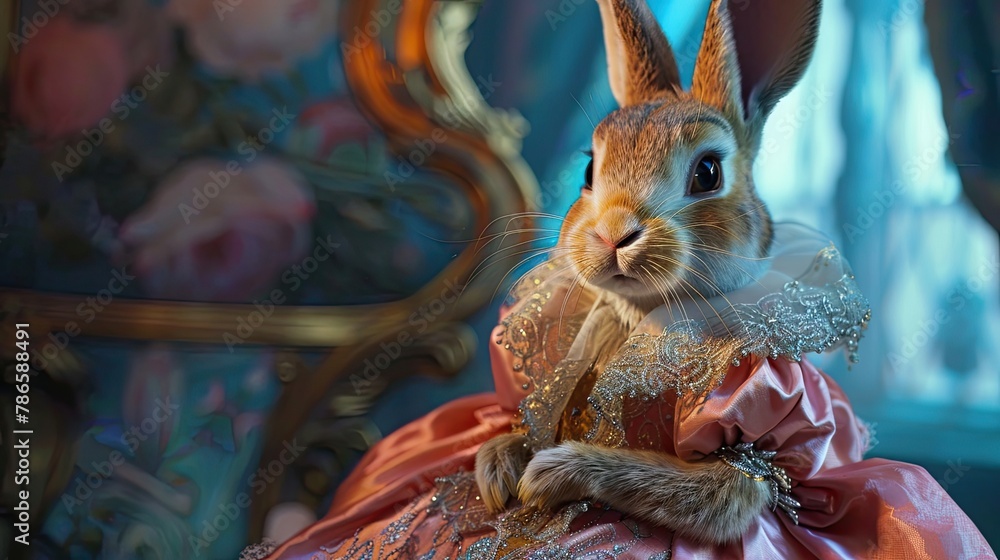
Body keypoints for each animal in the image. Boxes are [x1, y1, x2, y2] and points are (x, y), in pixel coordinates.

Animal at [476, 0, 823, 546]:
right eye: (589, 171)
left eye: (708, 172)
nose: (613, 233)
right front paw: (496, 467)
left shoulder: (750, 444)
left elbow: (689, 487)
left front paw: (547, 475)